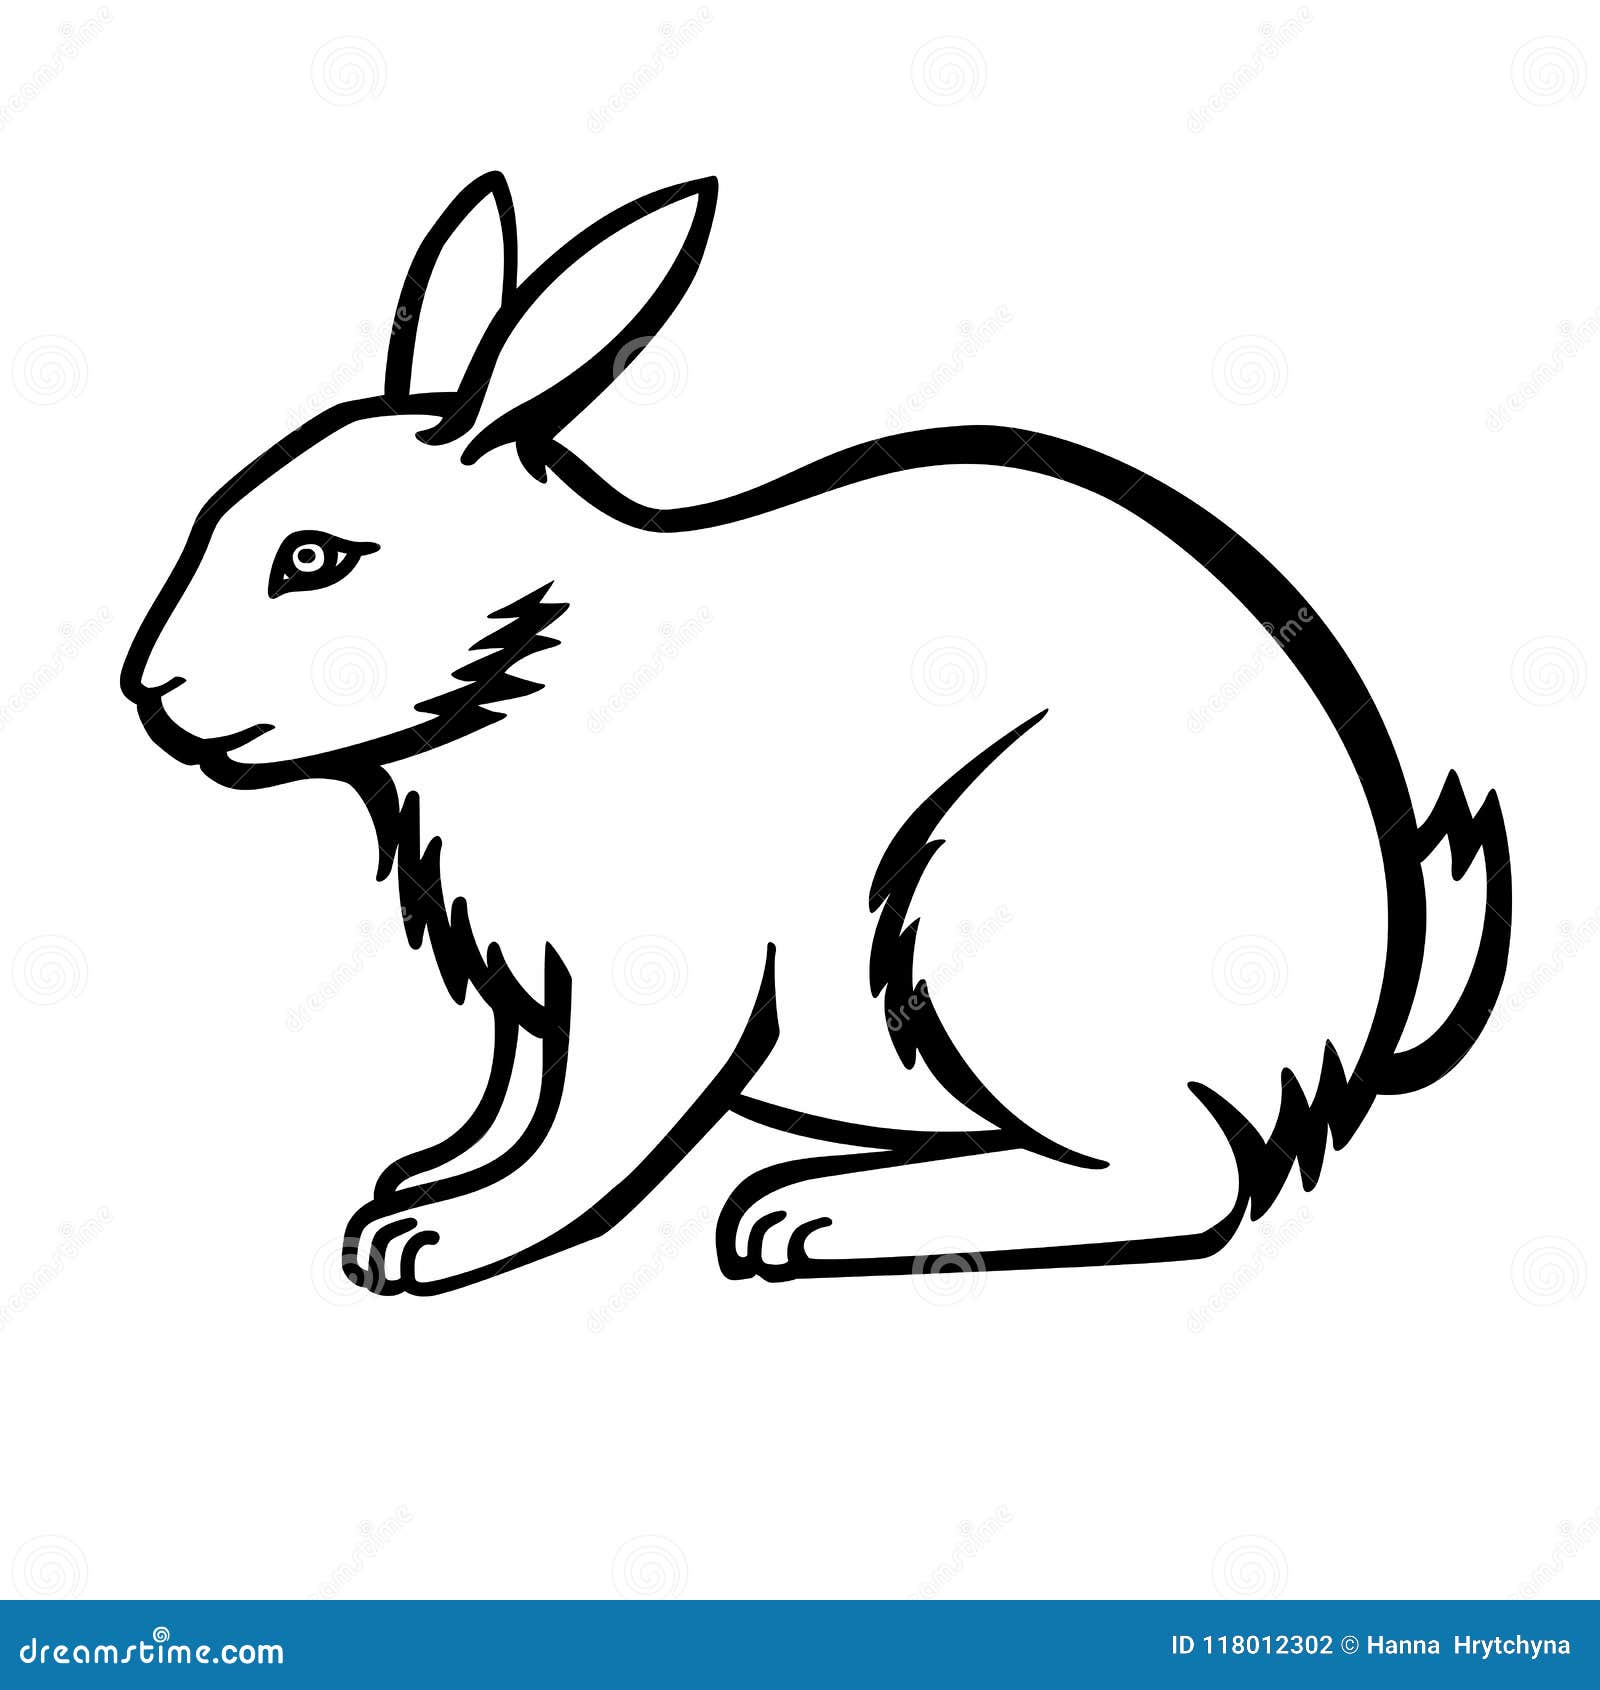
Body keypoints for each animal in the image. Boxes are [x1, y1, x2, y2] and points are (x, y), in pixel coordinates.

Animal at [122, 172, 1511, 1297]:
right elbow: (517, 1092)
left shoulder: (652, 979)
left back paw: (808, 1217)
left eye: (313, 560)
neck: (535, 660)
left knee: (1178, 1176)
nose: (148, 690)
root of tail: (1350, 1036)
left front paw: (439, 1237)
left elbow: (590, 1133)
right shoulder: (535, 992)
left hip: (986, 915)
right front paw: (424, 1175)